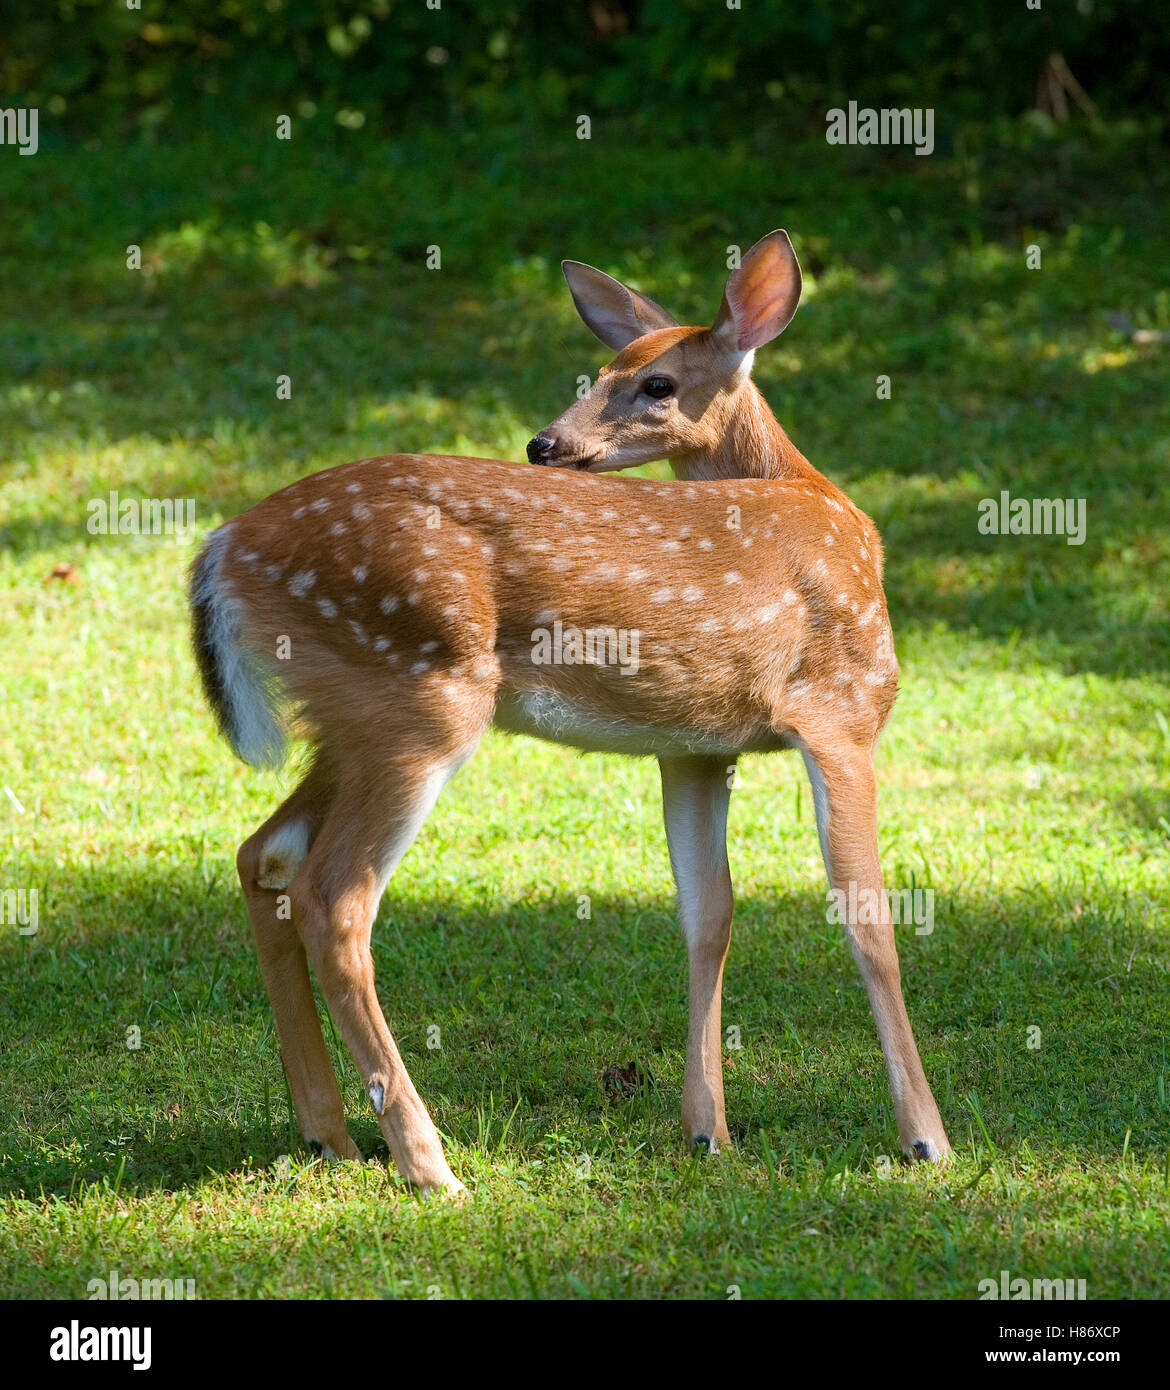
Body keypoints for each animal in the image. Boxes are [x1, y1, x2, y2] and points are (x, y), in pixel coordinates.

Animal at [189, 231, 950, 1197]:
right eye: (600, 370)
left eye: (655, 382)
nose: (545, 441)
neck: (821, 505)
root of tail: (222, 549)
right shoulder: (840, 712)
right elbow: (869, 922)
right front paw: (925, 1138)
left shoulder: (696, 746)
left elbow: (708, 915)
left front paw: (707, 1131)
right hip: (419, 701)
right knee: (336, 899)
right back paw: (429, 1164)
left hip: (352, 715)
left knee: (264, 854)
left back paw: (330, 1133)